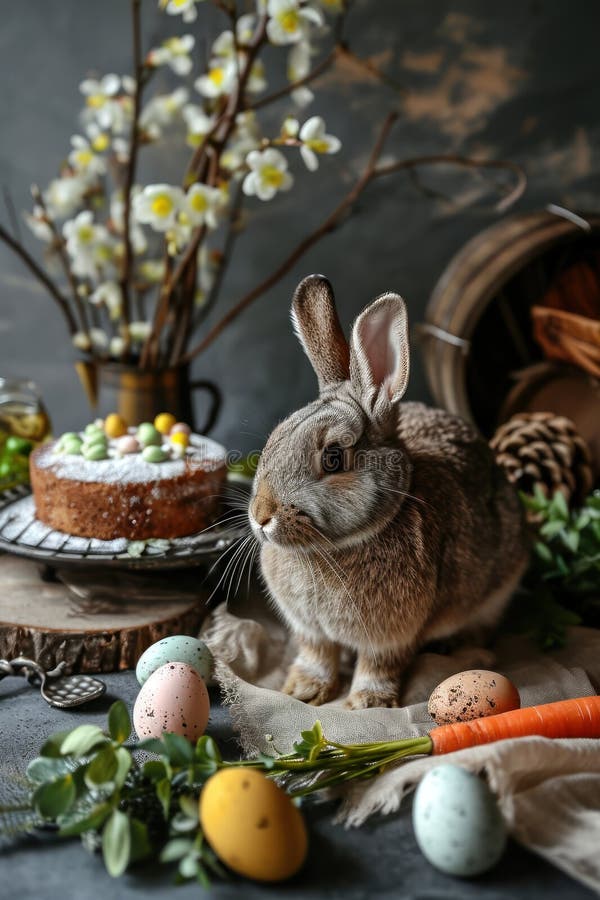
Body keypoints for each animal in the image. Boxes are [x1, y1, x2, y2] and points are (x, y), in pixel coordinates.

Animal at [248, 274, 530, 709]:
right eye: (275, 438)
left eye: (333, 458)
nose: (261, 516)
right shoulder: (310, 631)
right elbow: (317, 656)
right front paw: (303, 691)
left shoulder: (391, 637)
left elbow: (379, 665)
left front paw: (367, 703)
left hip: (497, 588)